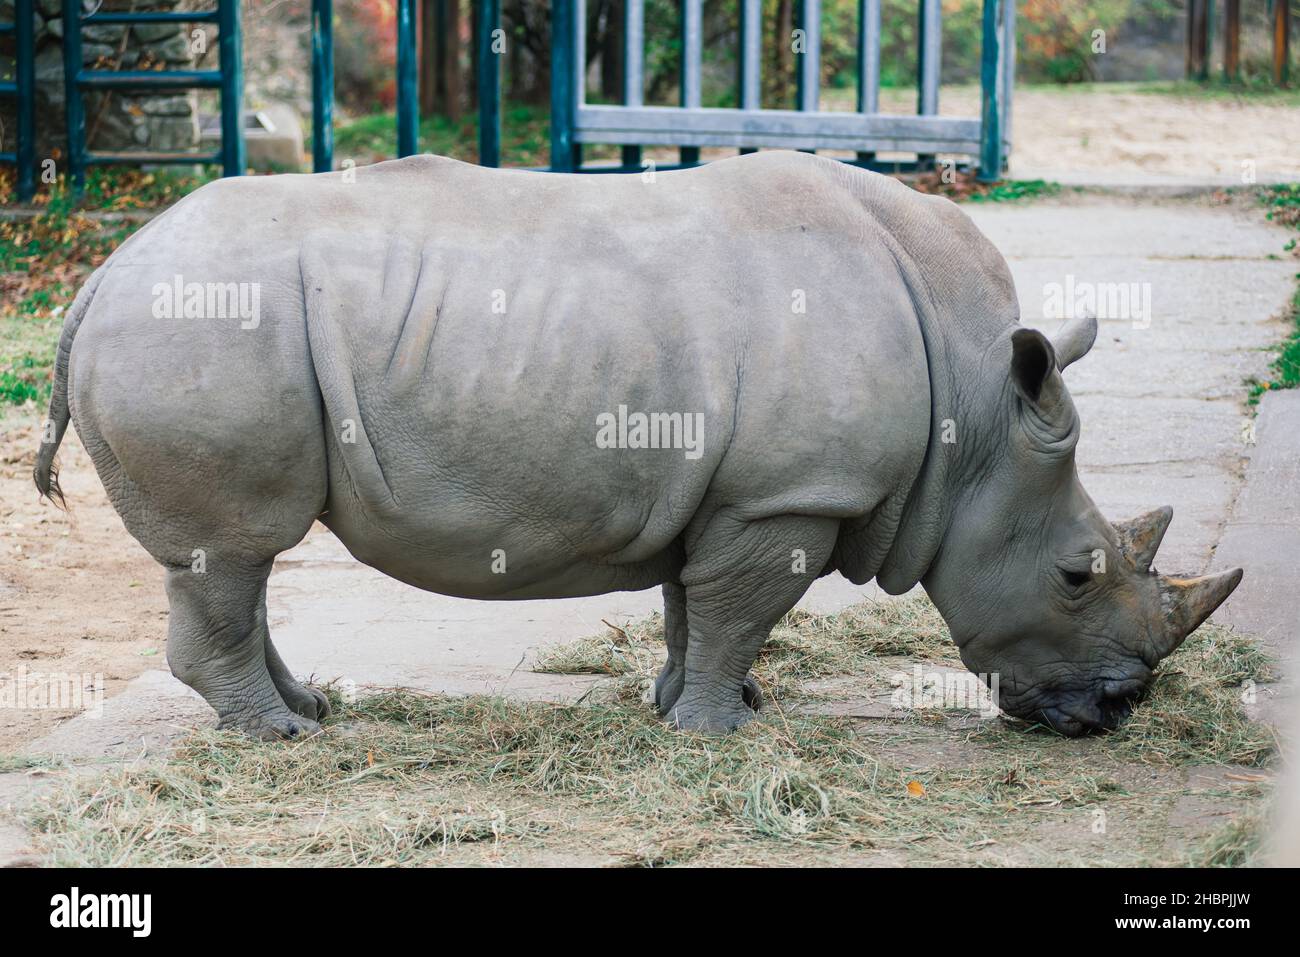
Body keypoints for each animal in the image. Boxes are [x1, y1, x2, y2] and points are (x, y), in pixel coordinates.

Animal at [34, 151, 1241, 739]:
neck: (980, 415)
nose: (1116, 713)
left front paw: (697, 710)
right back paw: (279, 741)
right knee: (232, 551)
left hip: (189, 325)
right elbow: (738, 611)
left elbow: (693, 605)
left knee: (235, 568)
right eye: (1077, 575)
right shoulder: (791, 492)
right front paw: (714, 737)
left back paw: (310, 712)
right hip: (197, 329)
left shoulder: (736, 489)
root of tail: (99, 278)